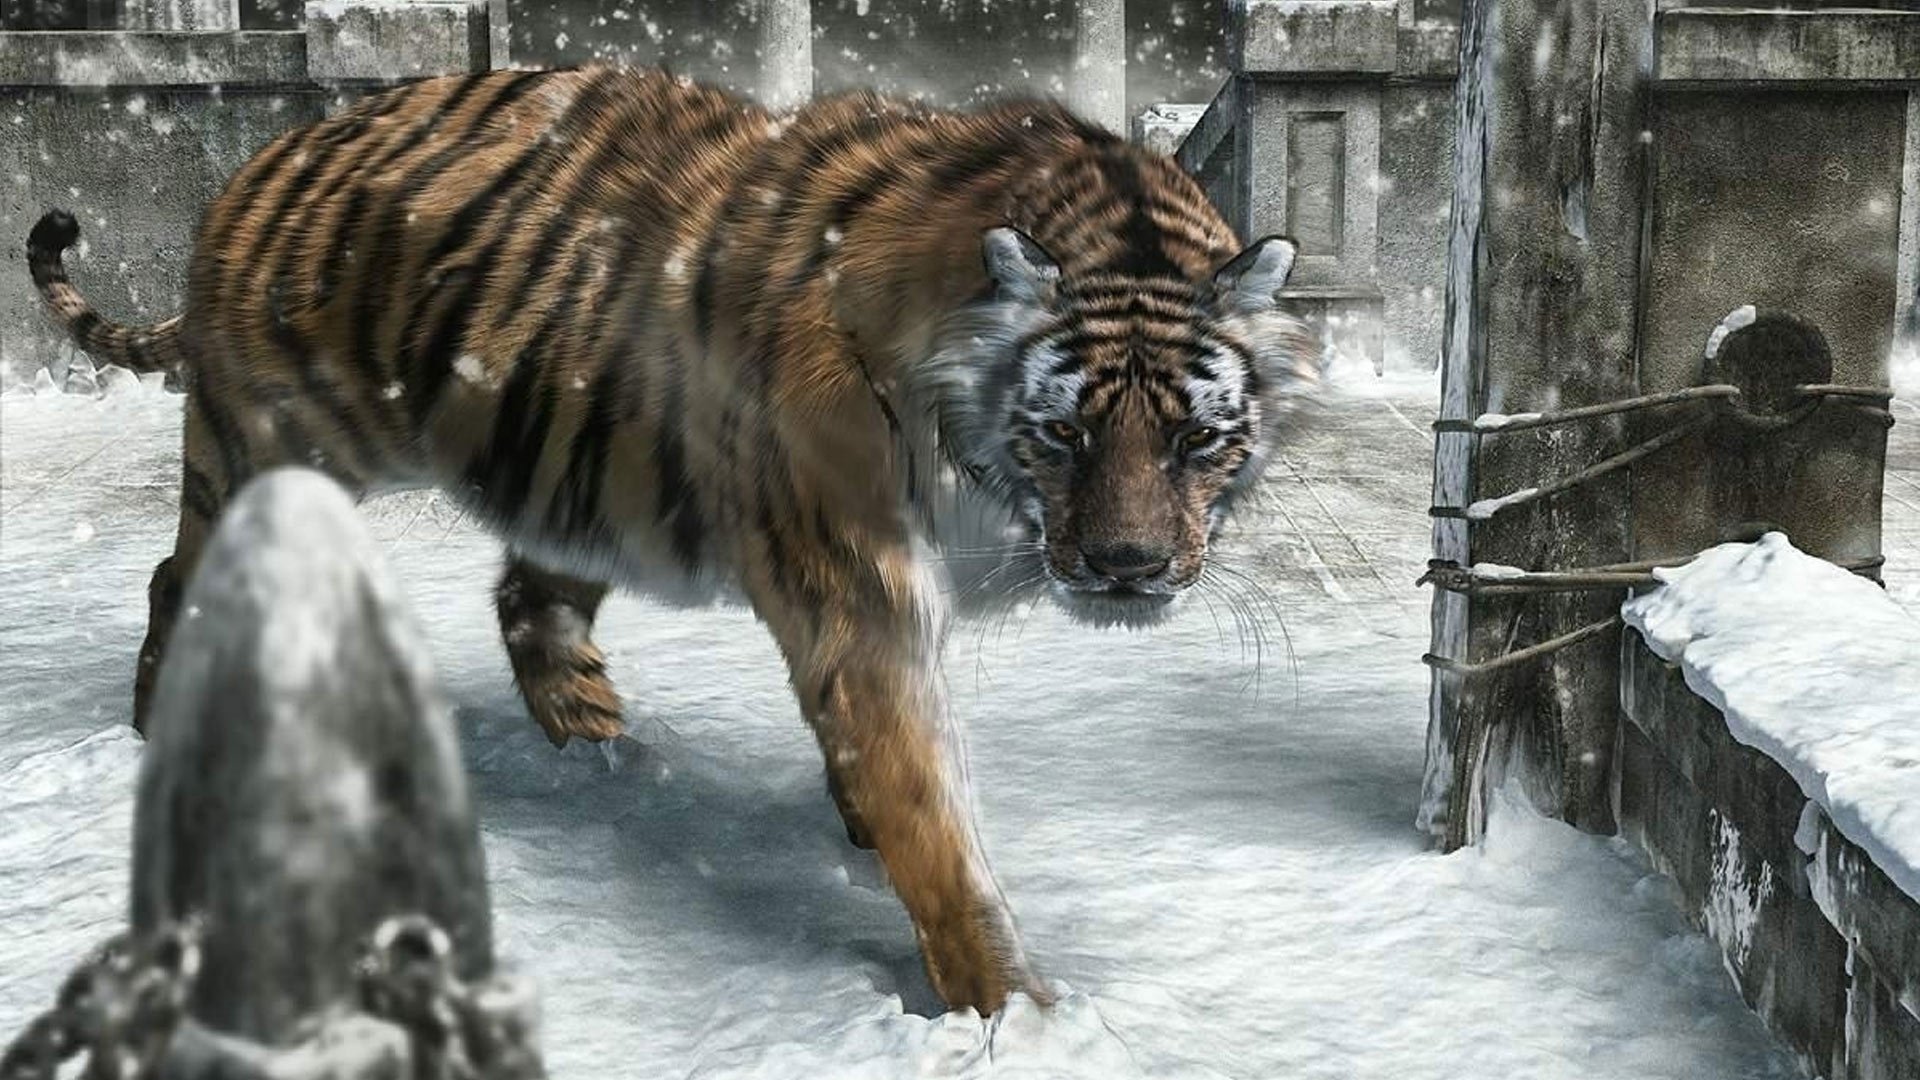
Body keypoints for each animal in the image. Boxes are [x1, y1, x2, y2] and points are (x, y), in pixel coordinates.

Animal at [26, 65, 1314, 1014]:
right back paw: (163, 721)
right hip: (278, 444)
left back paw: (604, 759)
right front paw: (1019, 1011)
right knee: (177, 574)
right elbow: (932, 814)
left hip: (580, 478)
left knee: (528, 604)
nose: (1128, 569)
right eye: (1064, 430)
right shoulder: (862, 595)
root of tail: (263, 155)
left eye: (1196, 439)